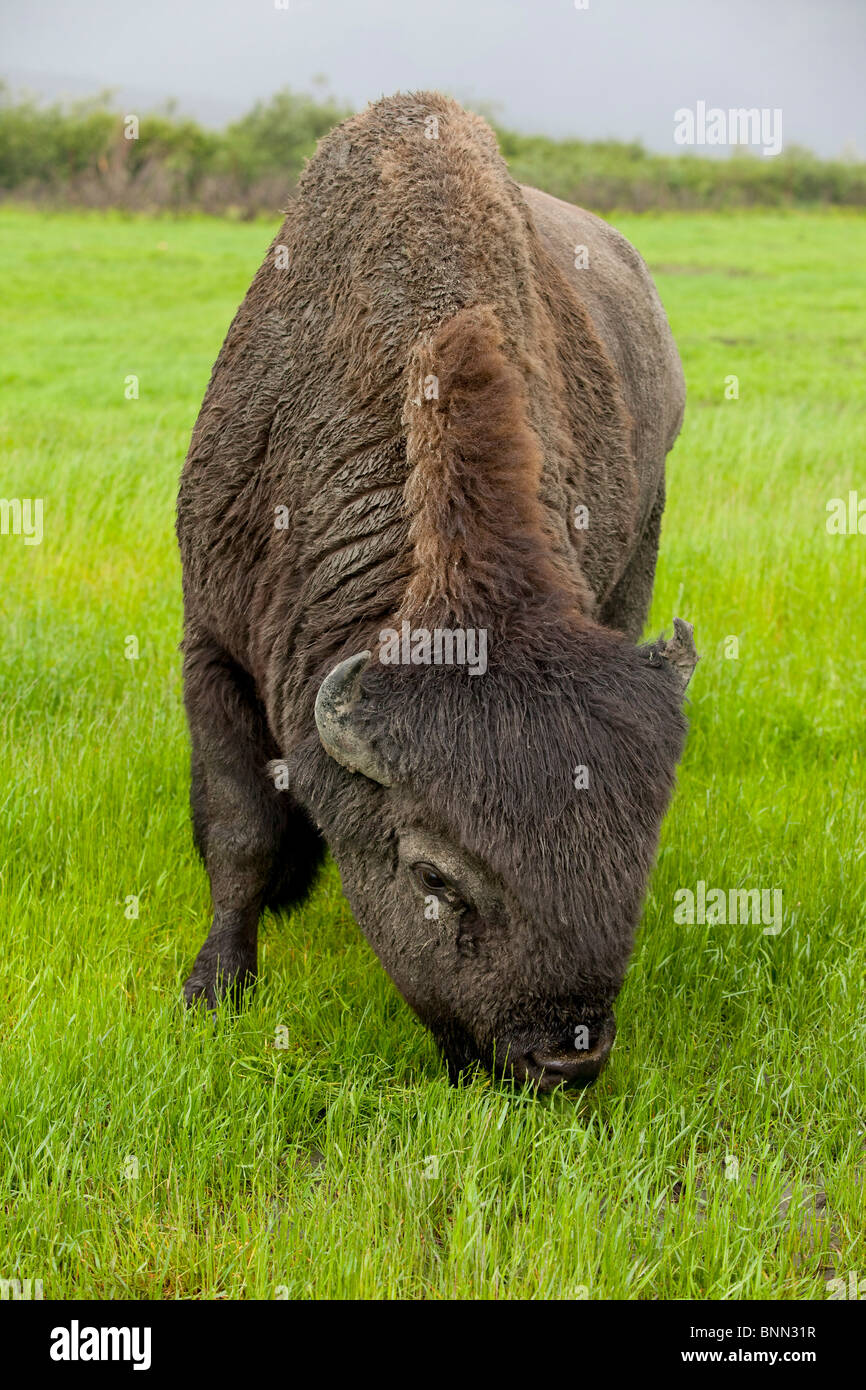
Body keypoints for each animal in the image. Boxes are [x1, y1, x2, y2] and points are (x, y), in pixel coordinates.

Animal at [176, 91, 697, 1092]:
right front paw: (213, 989)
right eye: (434, 878)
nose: (564, 1058)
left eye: (635, 864)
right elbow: (238, 830)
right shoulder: (210, 644)